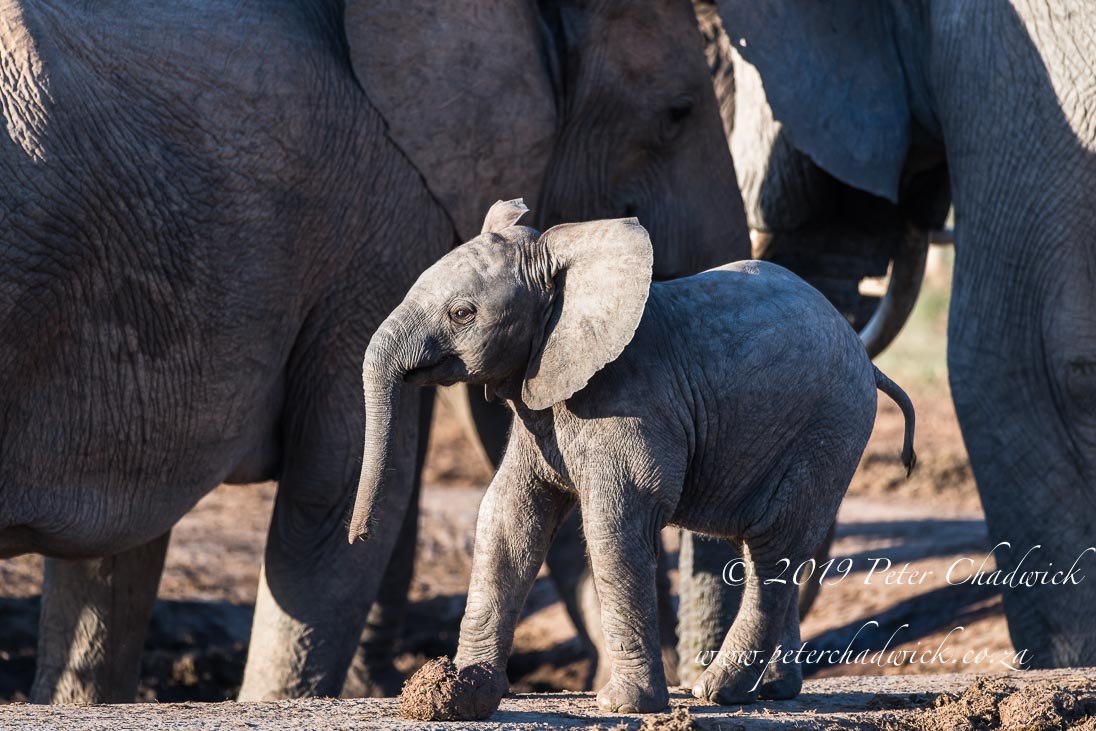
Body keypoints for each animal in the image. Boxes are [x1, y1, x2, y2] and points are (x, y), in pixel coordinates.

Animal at [348, 200, 917, 713]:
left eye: (462, 314)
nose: (359, 536)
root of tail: (867, 359)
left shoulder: (629, 400)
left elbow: (614, 526)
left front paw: (625, 705)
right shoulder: (541, 406)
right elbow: (508, 519)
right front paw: (462, 695)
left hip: (828, 427)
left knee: (774, 545)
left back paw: (717, 692)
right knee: (774, 547)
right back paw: (774, 691)